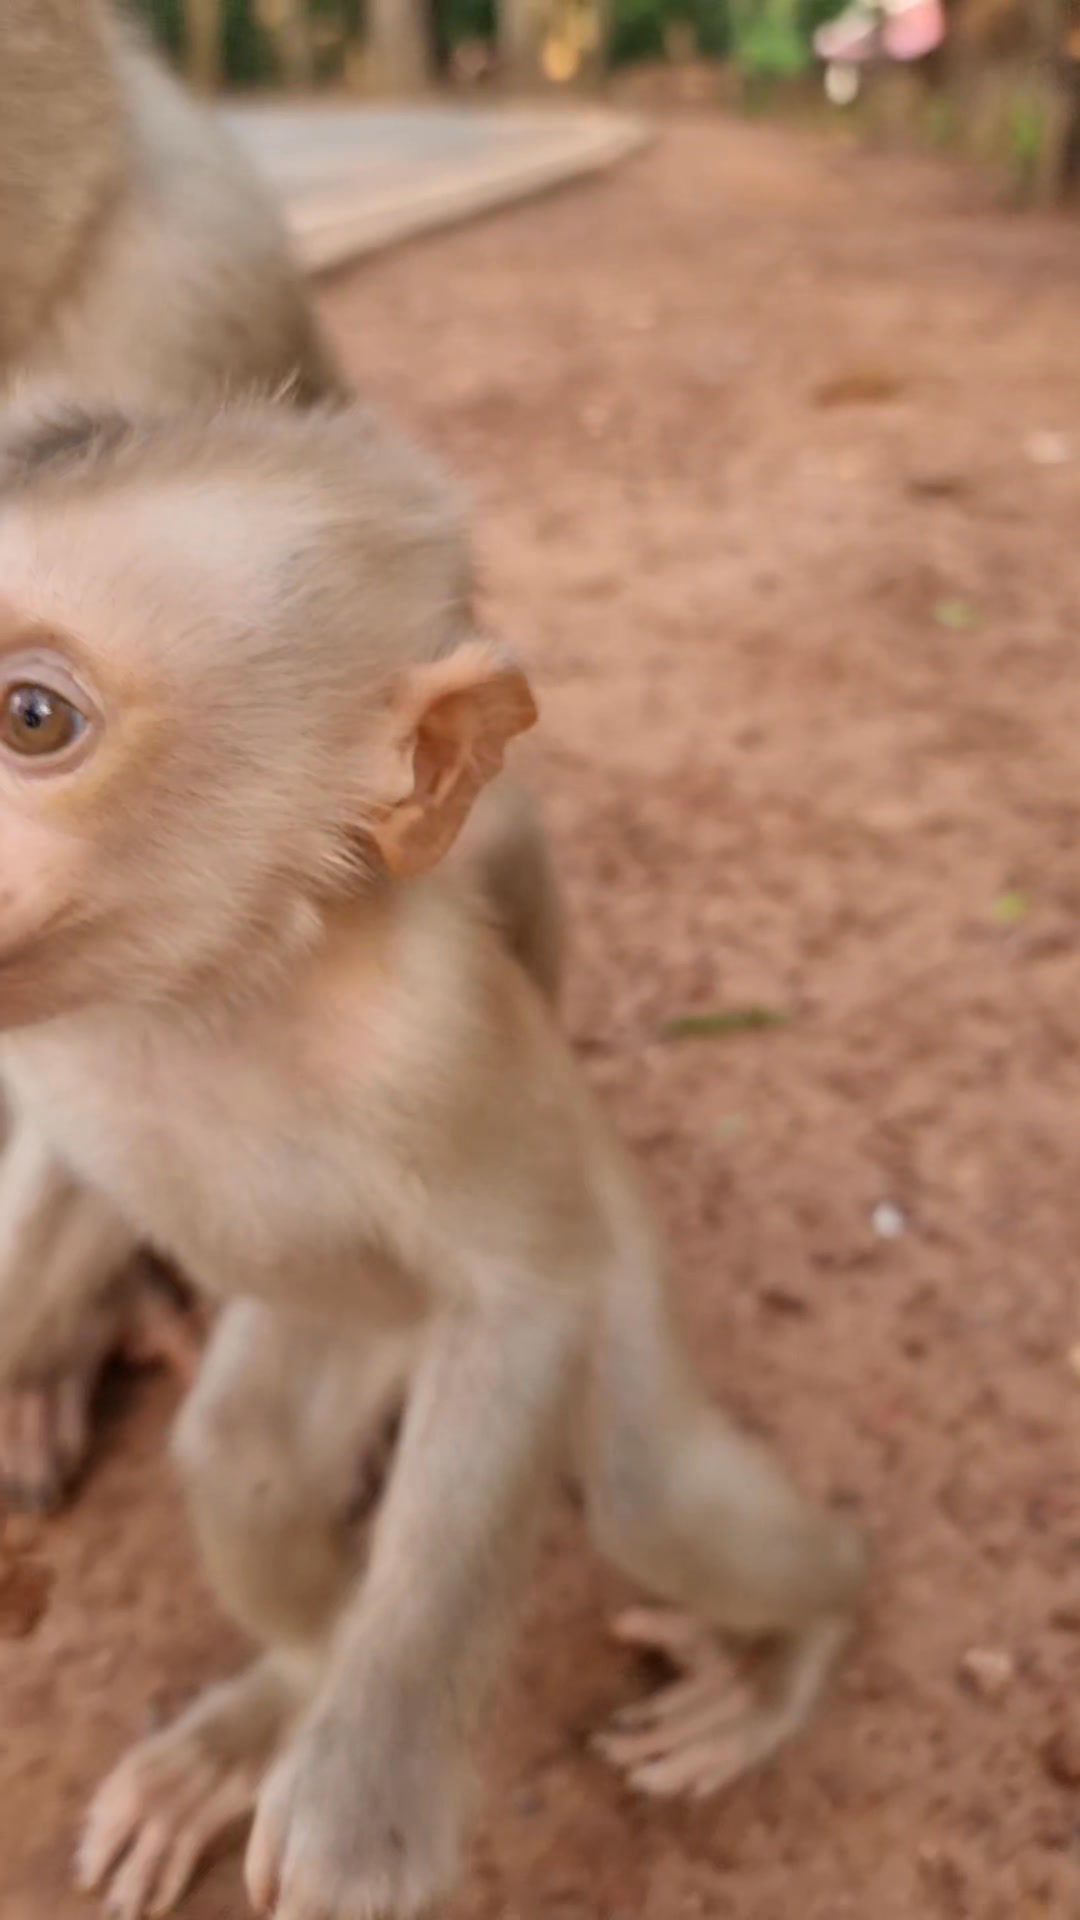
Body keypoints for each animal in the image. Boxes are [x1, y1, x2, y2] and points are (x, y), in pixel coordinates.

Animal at [0, 397, 866, 1920]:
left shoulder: (432, 1048)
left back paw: (795, 1645)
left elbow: (525, 1294)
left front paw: (372, 1796)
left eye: (31, 718)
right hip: (334, 1327)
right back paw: (280, 1695)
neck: (202, 990)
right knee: (244, 1456)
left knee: (648, 1498)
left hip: (597, 1263)